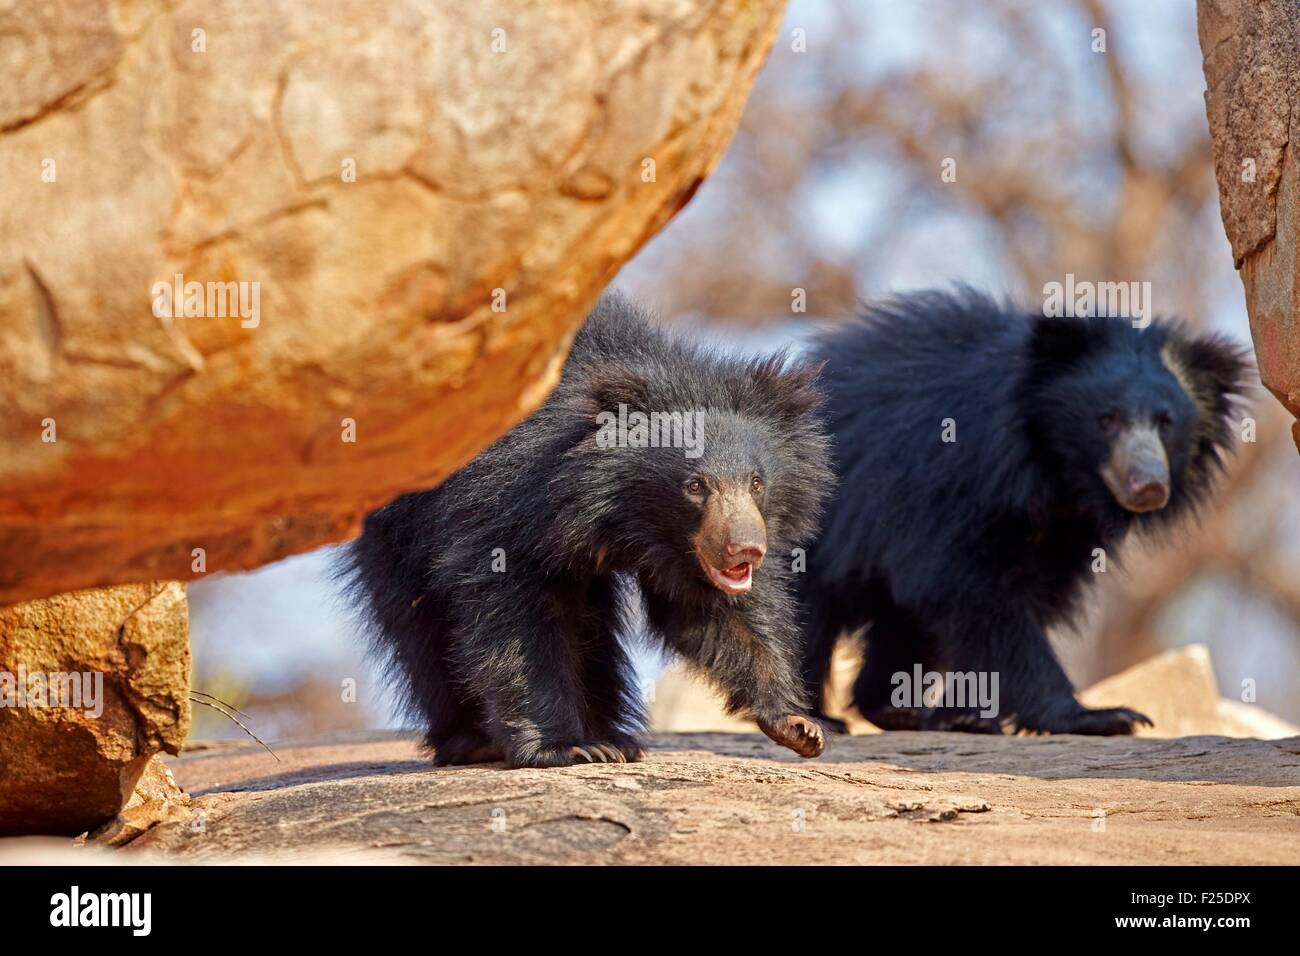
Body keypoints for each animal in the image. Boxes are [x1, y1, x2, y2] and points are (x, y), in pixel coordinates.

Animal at [336, 294, 834, 768]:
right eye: (695, 486)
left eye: (756, 482)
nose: (745, 550)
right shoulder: (507, 503)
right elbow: (517, 616)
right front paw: (561, 749)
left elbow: (716, 614)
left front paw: (796, 725)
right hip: (398, 525)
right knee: (420, 622)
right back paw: (477, 743)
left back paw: (614, 739)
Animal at [796, 287, 1250, 736]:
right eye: (1107, 419)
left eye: (1166, 422)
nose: (1149, 484)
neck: (1055, 471)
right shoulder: (951, 482)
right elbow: (975, 591)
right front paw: (1100, 716)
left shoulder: (1065, 533)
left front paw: (964, 717)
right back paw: (820, 717)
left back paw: (895, 711)